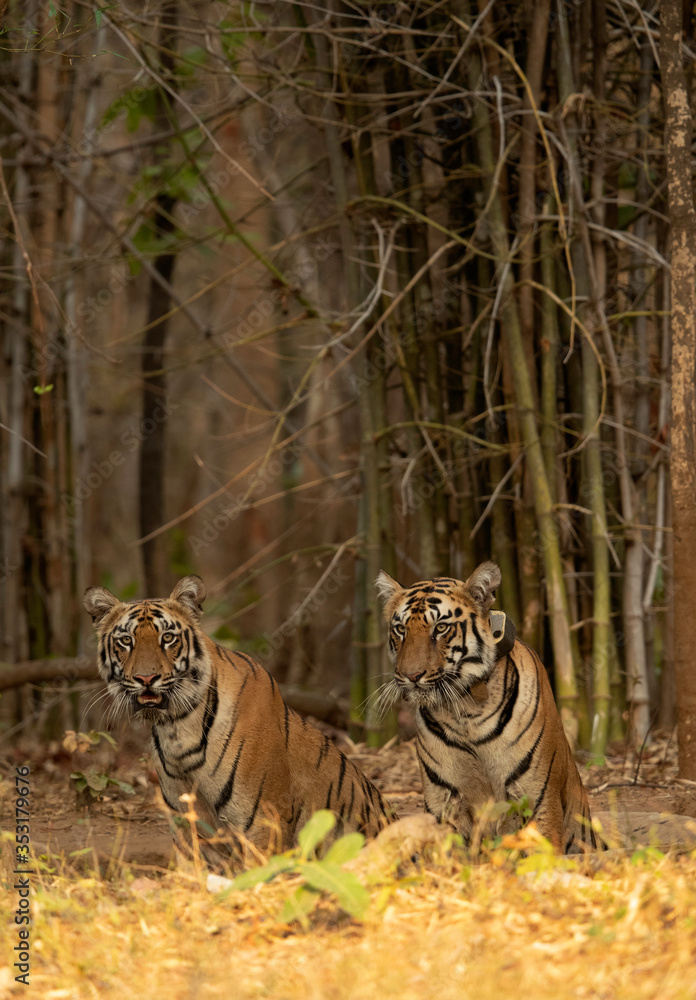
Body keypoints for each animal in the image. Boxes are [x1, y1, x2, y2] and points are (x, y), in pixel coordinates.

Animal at [83, 575, 393, 869]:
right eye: (126, 640)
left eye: (168, 637)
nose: (146, 678)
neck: (176, 726)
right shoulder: (187, 824)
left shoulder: (262, 821)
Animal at [375, 561, 600, 854]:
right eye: (401, 629)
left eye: (441, 628)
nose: (411, 676)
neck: (465, 711)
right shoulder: (444, 802)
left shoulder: (537, 800)